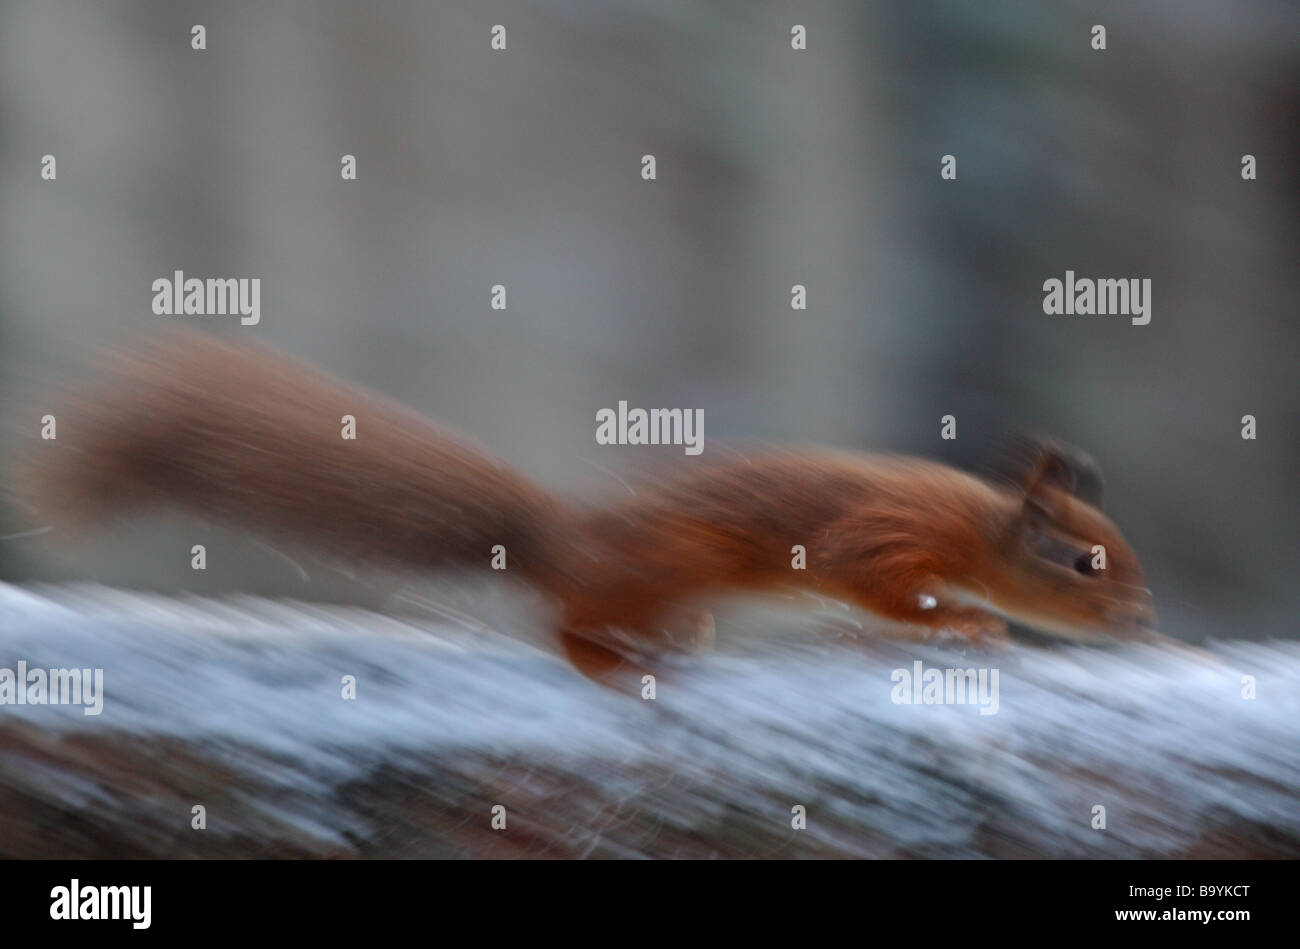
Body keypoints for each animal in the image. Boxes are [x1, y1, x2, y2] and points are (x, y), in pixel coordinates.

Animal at [17, 332, 1158, 685]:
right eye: (1085, 563)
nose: (1145, 621)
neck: (971, 528)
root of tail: (562, 542)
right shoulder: (880, 537)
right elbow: (876, 585)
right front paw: (965, 619)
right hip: (666, 561)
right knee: (564, 622)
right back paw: (611, 659)